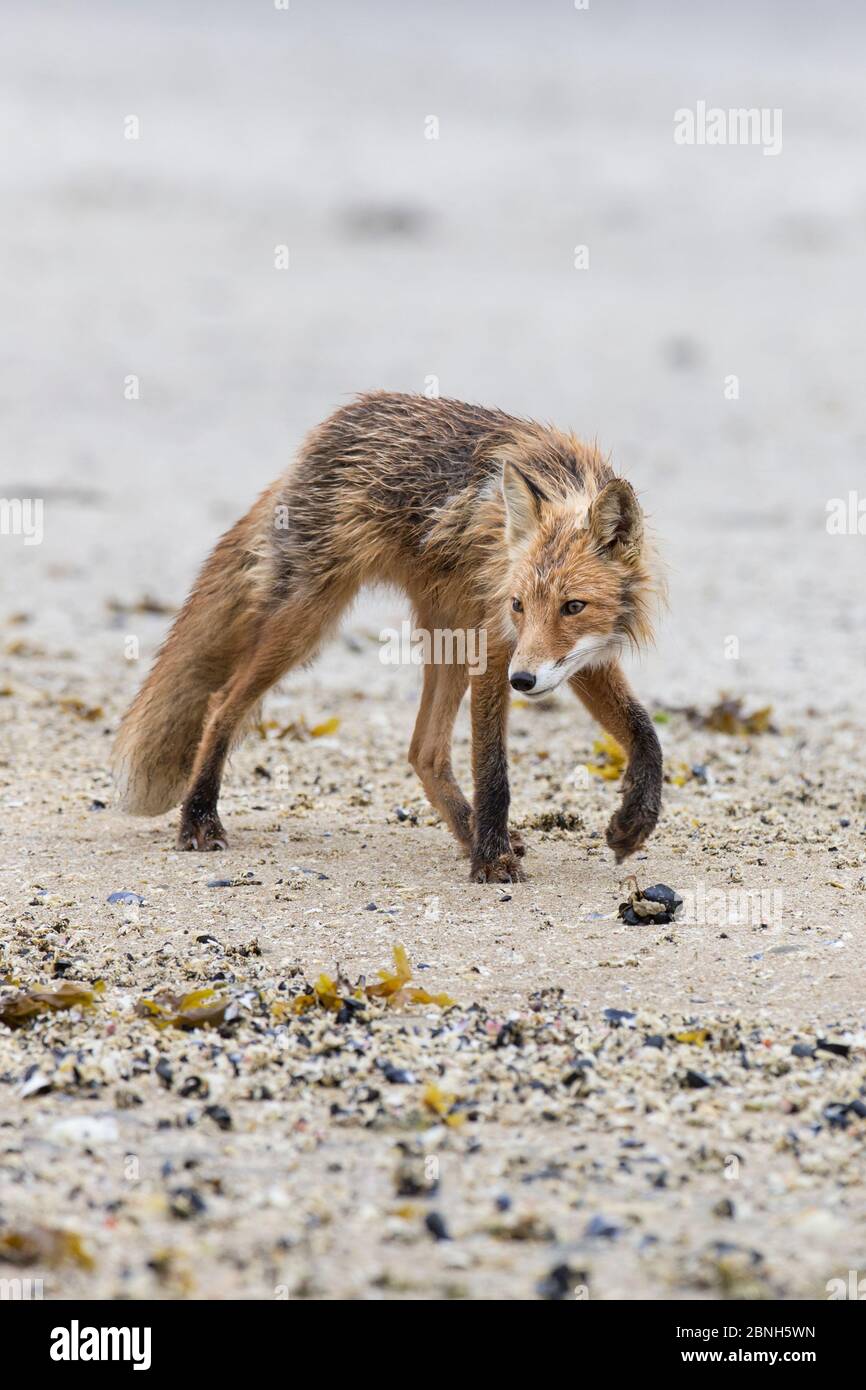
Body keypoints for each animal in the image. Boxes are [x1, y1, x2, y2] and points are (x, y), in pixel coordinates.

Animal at [113, 392, 664, 883]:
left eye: (573, 607)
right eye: (518, 605)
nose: (523, 683)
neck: (567, 479)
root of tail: (327, 430)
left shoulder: (578, 657)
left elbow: (645, 734)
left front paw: (633, 822)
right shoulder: (498, 645)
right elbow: (493, 770)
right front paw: (491, 861)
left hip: (447, 636)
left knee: (424, 751)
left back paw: (468, 830)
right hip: (307, 622)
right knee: (221, 704)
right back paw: (199, 817)